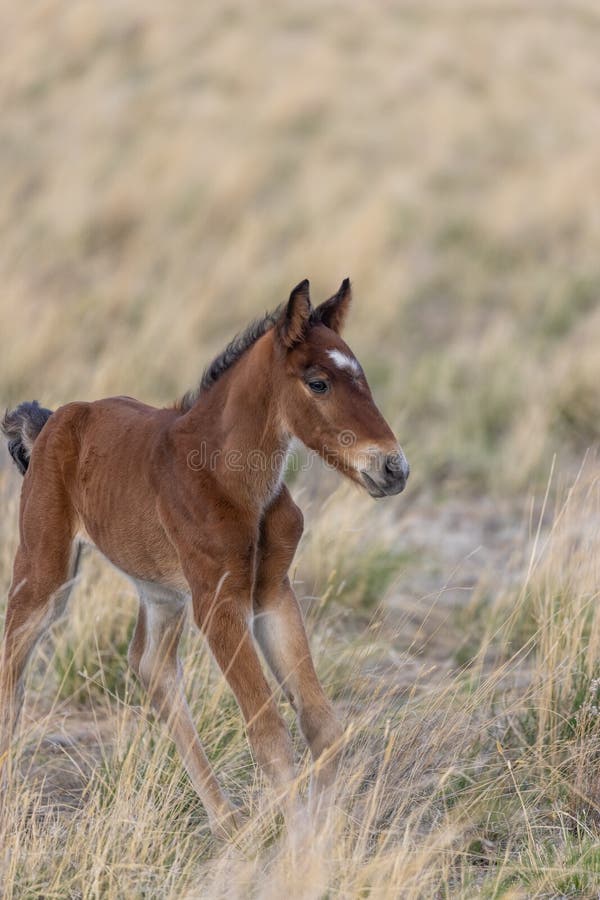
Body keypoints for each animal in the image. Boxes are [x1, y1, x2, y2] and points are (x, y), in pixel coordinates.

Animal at [0, 278, 409, 837]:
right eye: (318, 383)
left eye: (362, 375)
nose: (393, 468)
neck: (228, 476)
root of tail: (50, 421)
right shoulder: (219, 602)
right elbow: (268, 730)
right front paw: (300, 842)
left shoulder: (271, 592)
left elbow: (320, 722)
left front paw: (326, 835)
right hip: (46, 568)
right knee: (15, 656)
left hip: (162, 591)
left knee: (151, 666)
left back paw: (227, 820)